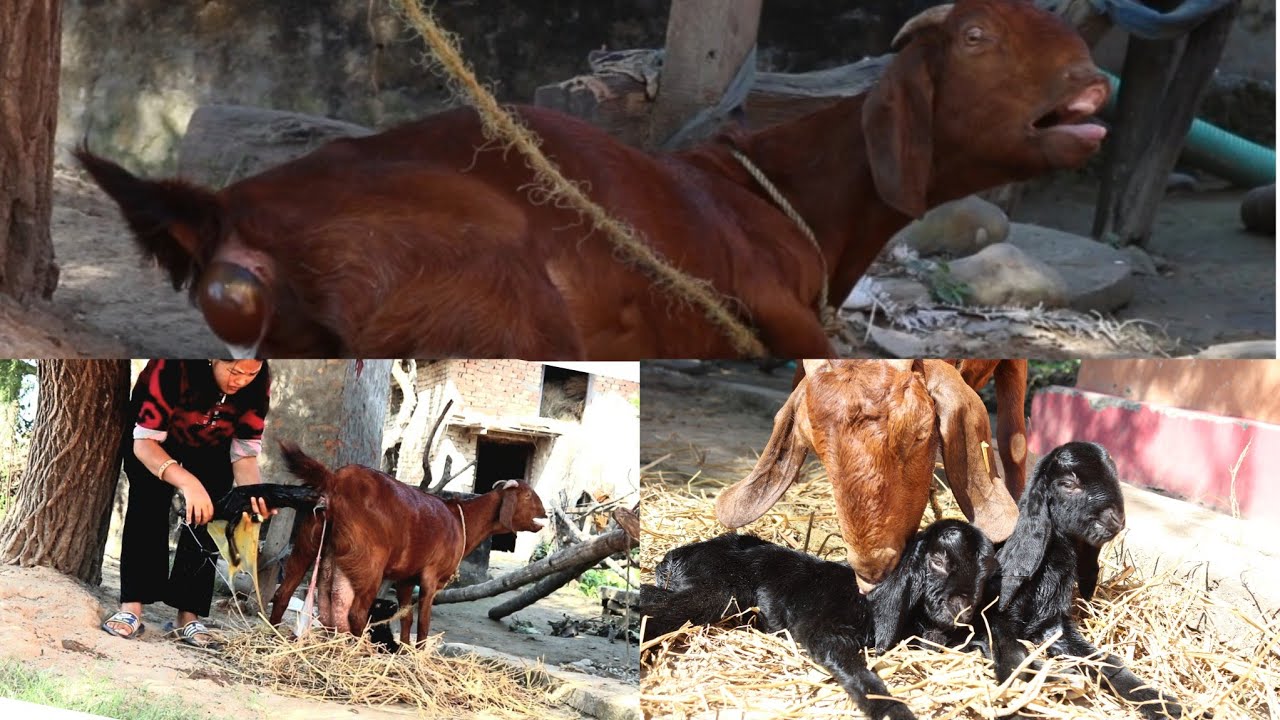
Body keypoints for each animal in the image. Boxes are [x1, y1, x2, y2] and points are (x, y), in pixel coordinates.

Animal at [266, 442, 548, 645]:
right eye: (528, 496)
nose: (545, 513)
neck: (460, 520)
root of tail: (336, 481)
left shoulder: (405, 578)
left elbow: (407, 618)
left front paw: (404, 649)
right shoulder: (431, 576)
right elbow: (423, 622)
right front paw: (419, 654)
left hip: (308, 542)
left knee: (284, 593)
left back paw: (272, 636)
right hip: (370, 561)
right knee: (356, 612)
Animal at [641, 520, 998, 720]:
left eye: (985, 573)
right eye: (937, 561)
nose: (963, 607)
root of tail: (675, 557)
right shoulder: (824, 629)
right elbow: (855, 670)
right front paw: (895, 711)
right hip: (718, 592)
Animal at [991, 442, 1187, 719]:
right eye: (1068, 484)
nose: (1116, 520)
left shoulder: (1054, 626)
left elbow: (1108, 663)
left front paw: (1166, 704)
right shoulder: (997, 618)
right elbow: (1013, 656)